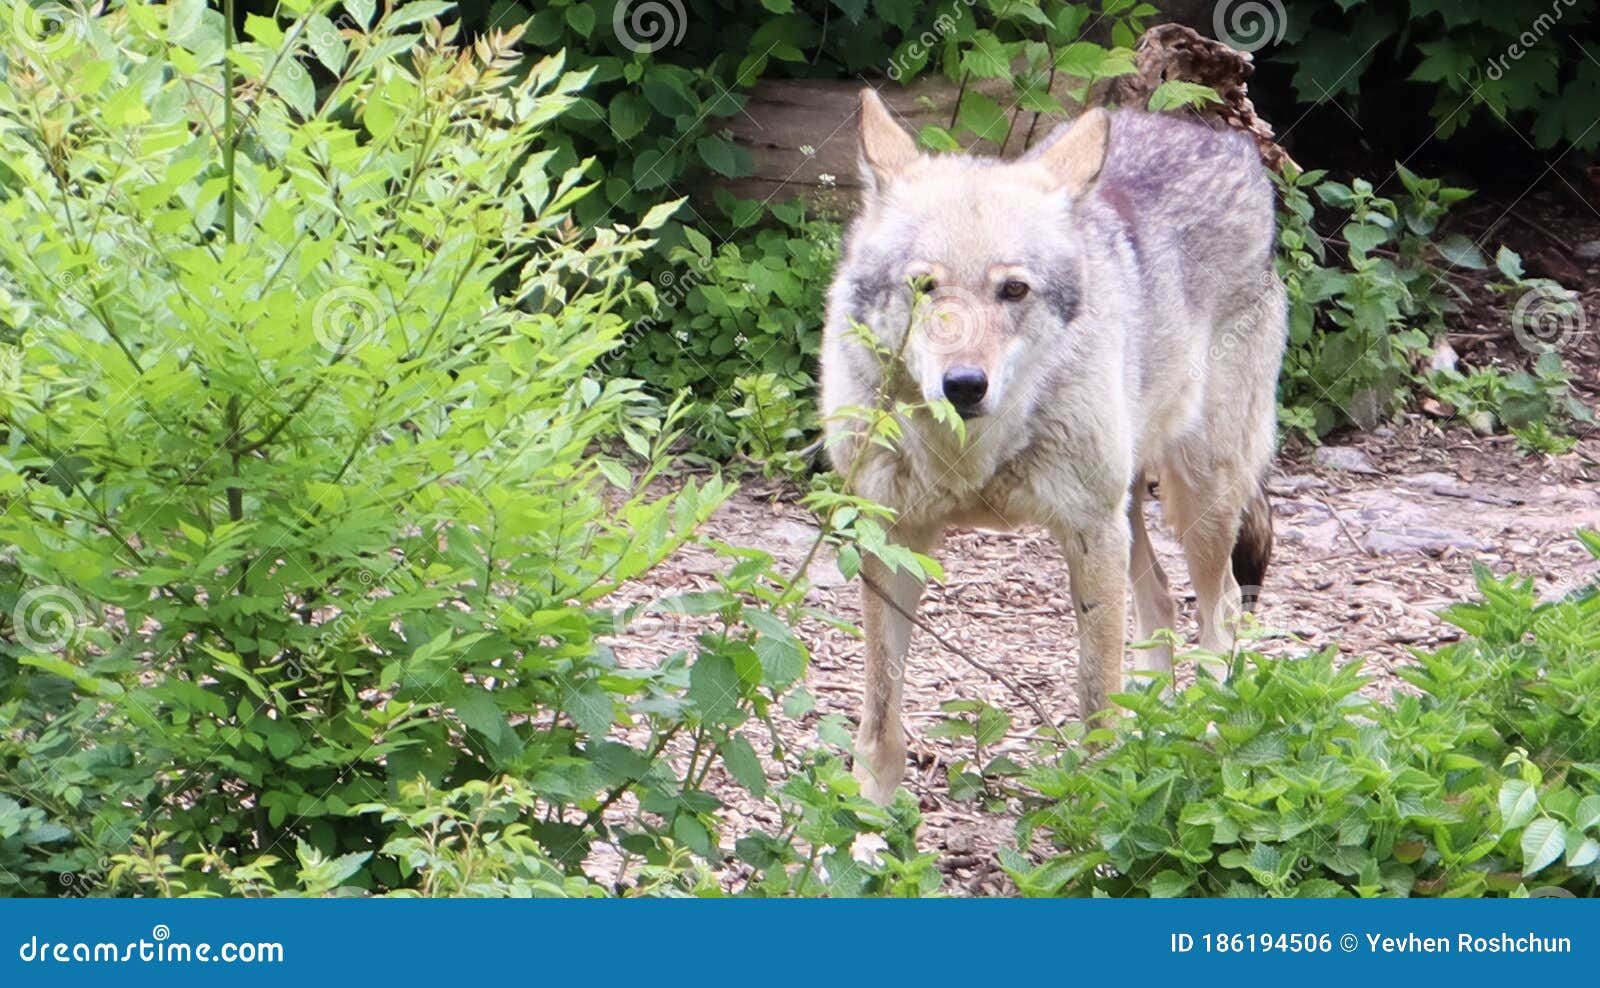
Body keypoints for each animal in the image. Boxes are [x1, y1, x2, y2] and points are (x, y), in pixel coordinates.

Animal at [820, 90, 1287, 805]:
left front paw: (1103, 814)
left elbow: (1096, 698)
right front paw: (864, 820)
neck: (971, 453)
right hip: (1132, 511)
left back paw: (1207, 734)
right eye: (925, 287)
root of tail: (1223, 141)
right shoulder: (891, 533)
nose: (964, 384)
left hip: (1193, 500)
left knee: (1223, 608)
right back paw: (1156, 732)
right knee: (1159, 602)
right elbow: (880, 708)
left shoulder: (1089, 532)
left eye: (1013, 289)